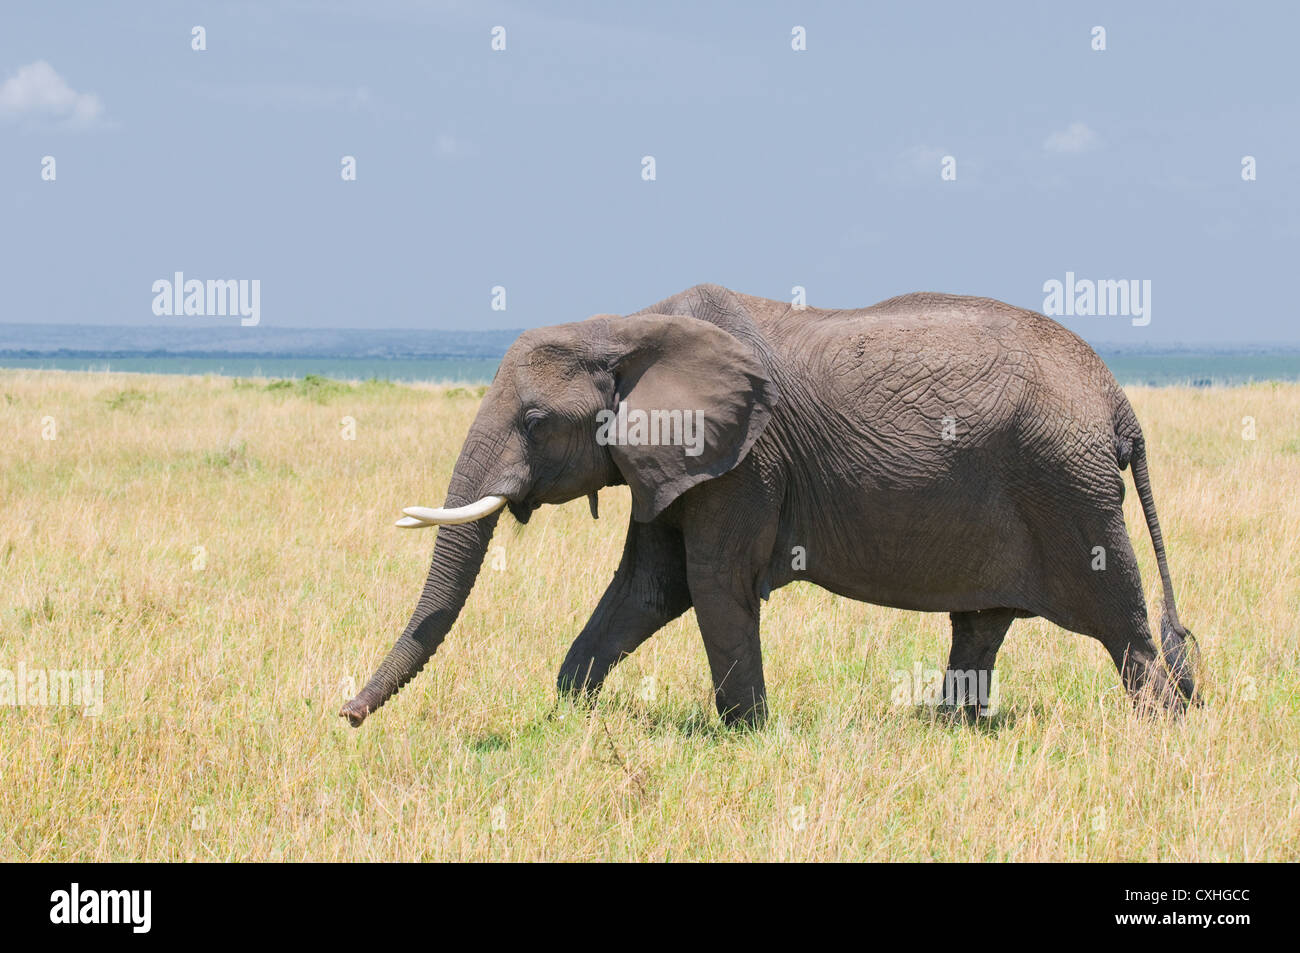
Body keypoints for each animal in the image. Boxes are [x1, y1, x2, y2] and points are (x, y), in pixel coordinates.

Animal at [340, 283, 1198, 728]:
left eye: (533, 420)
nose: (345, 715)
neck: (622, 323)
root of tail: (1117, 400)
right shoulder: (682, 461)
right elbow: (649, 586)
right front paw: (573, 710)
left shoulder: (745, 463)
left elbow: (711, 583)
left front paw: (747, 734)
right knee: (981, 627)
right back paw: (949, 728)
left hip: (1070, 490)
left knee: (1121, 622)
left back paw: (1163, 727)